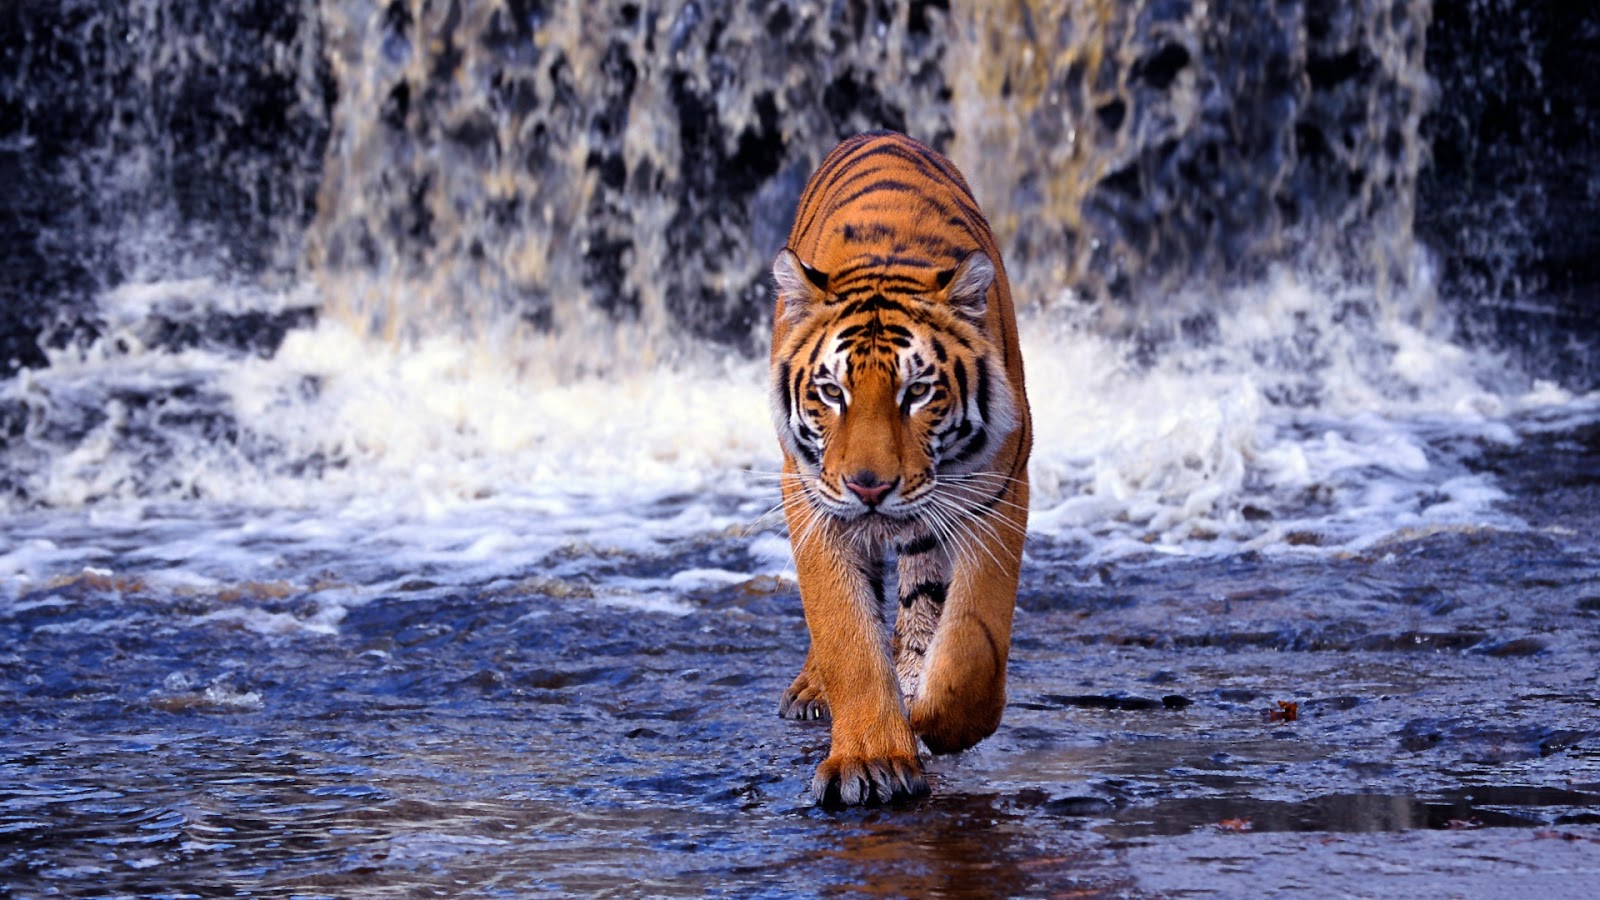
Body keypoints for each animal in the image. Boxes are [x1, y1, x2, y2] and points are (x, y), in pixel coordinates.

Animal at [767, 131, 1032, 807]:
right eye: (831, 392)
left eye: (917, 393)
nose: (869, 487)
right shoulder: (810, 497)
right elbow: (845, 632)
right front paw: (870, 760)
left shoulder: (997, 489)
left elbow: (972, 639)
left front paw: (939, 720)